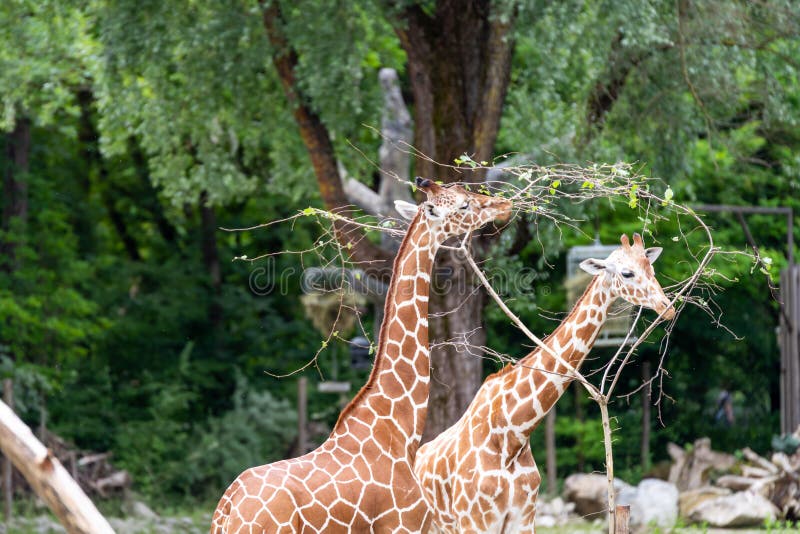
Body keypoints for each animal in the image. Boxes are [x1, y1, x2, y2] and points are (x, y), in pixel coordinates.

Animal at [414, 233, 675, 533]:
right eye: (627, 272)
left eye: (651, 267)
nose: (668, 308)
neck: (513, 434)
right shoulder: (475, 521)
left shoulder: (524, 518)